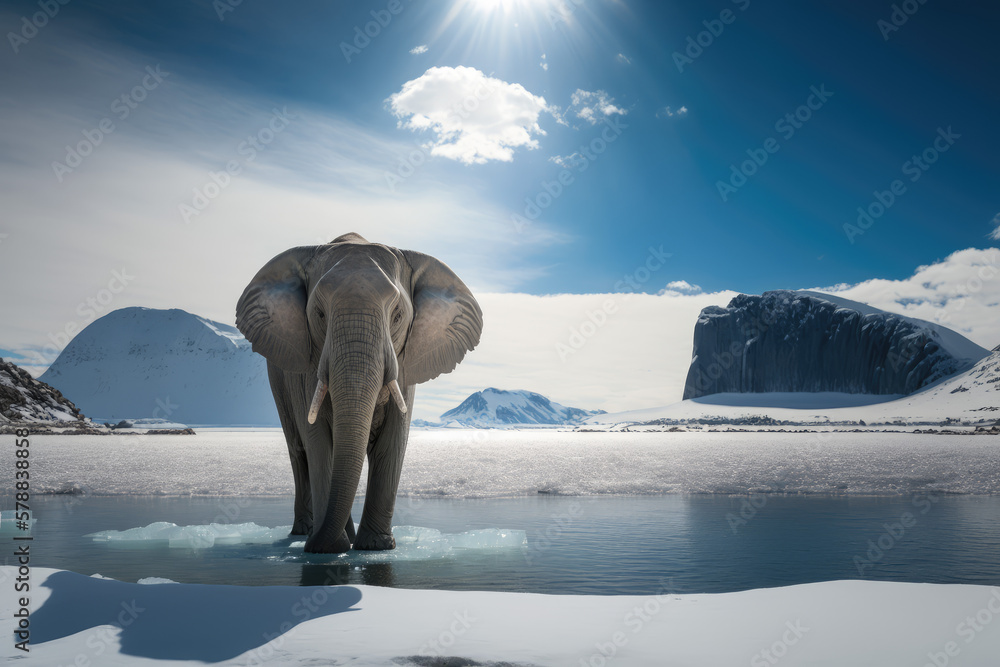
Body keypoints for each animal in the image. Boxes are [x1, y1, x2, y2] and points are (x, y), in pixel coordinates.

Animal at [235, 233, 482, 553]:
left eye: (398, 315)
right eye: (319, 313)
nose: (314, 546)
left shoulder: (404, 365)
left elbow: (393, 440)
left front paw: (376, 546)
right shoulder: (306, 367)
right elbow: (318, 442)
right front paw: (331, 547)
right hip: (278, 378)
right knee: (299, 451)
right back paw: (306, 532)